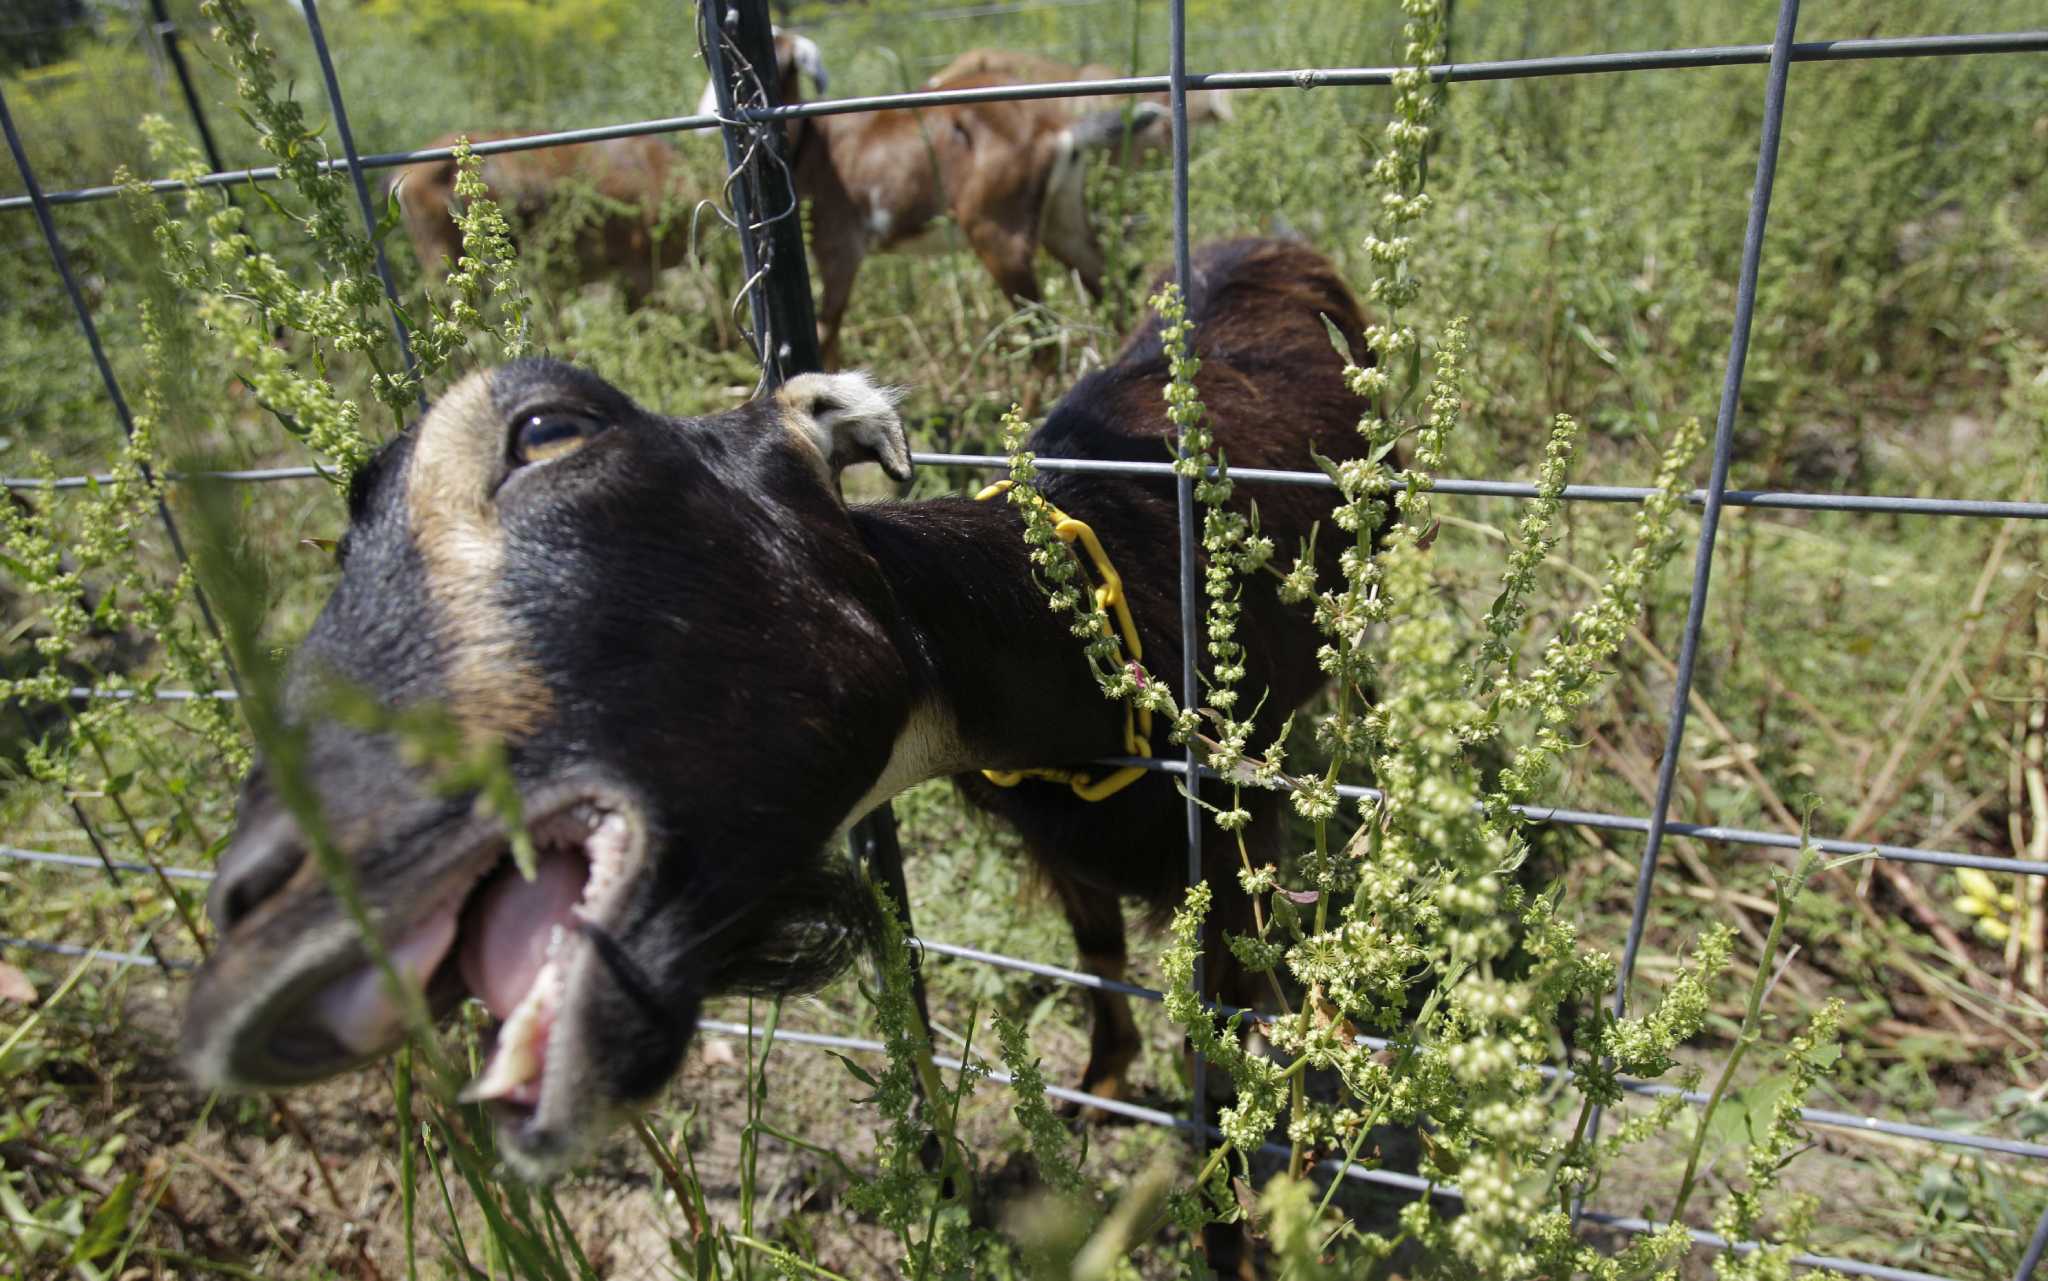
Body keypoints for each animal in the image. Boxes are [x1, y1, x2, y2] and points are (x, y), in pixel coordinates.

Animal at [181, 238, 1371, 1186]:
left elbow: (1214, 1058)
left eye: (549, 429)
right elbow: (1100, 969)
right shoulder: (1058, 847)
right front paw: (1091, 1100)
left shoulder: (1229, 878)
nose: (251, 910)